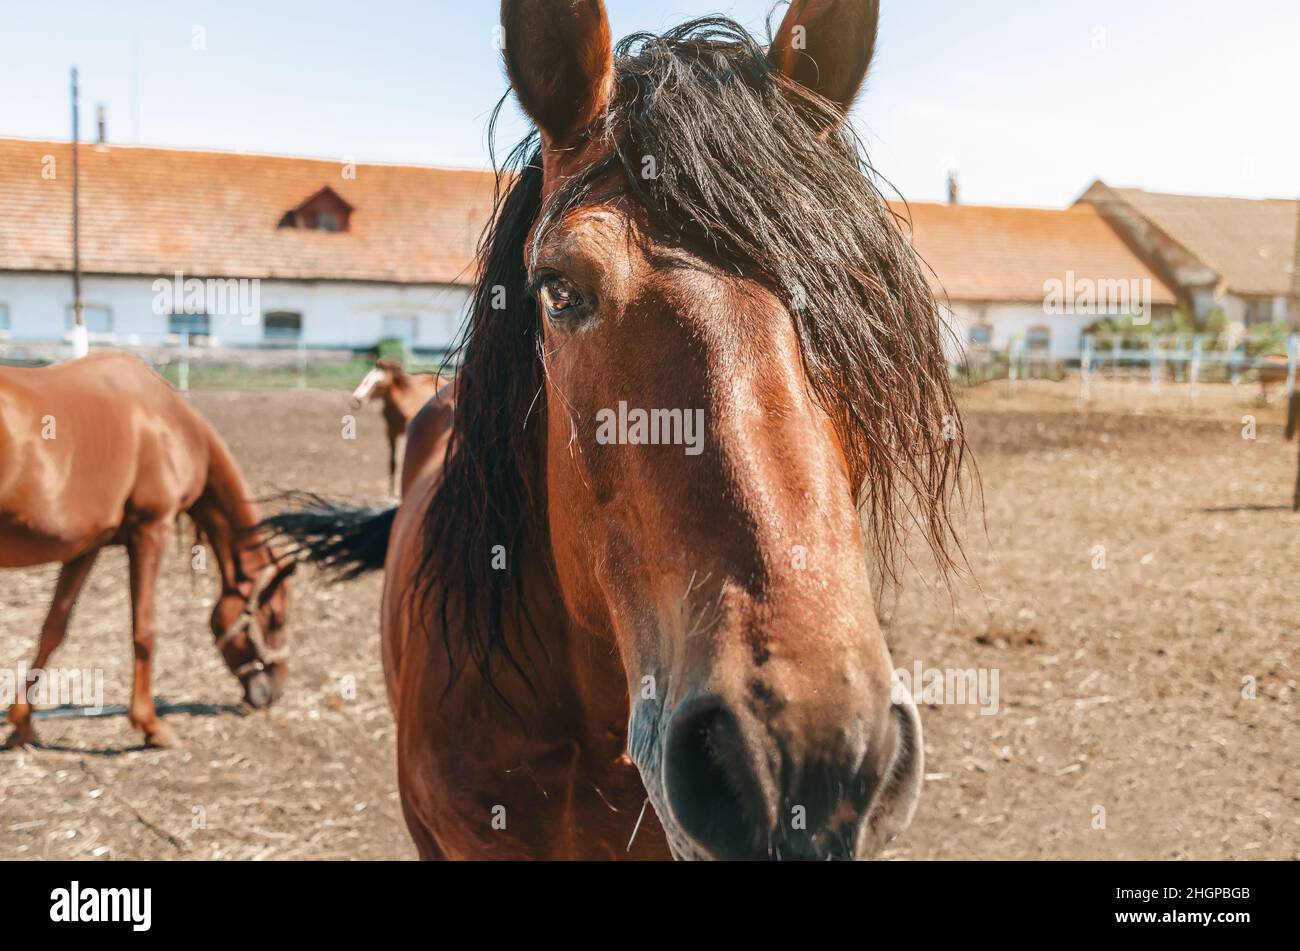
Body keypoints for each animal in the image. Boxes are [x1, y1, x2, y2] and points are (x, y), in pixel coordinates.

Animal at [0, 352, 295, 749]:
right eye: (276, 618)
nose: (275, 691)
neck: (169, 423)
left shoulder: (86, 547)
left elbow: (54, 628)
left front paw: (23, 723)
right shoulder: (151, 531)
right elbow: (145, 631)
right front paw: (150, 725)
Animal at [350, 359, 451, 495]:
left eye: (377, 382)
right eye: (367, 376)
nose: (356, 398)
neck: (403, 400)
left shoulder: (406, 433)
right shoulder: (391, 432)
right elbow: (393, 461)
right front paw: (391, 492)